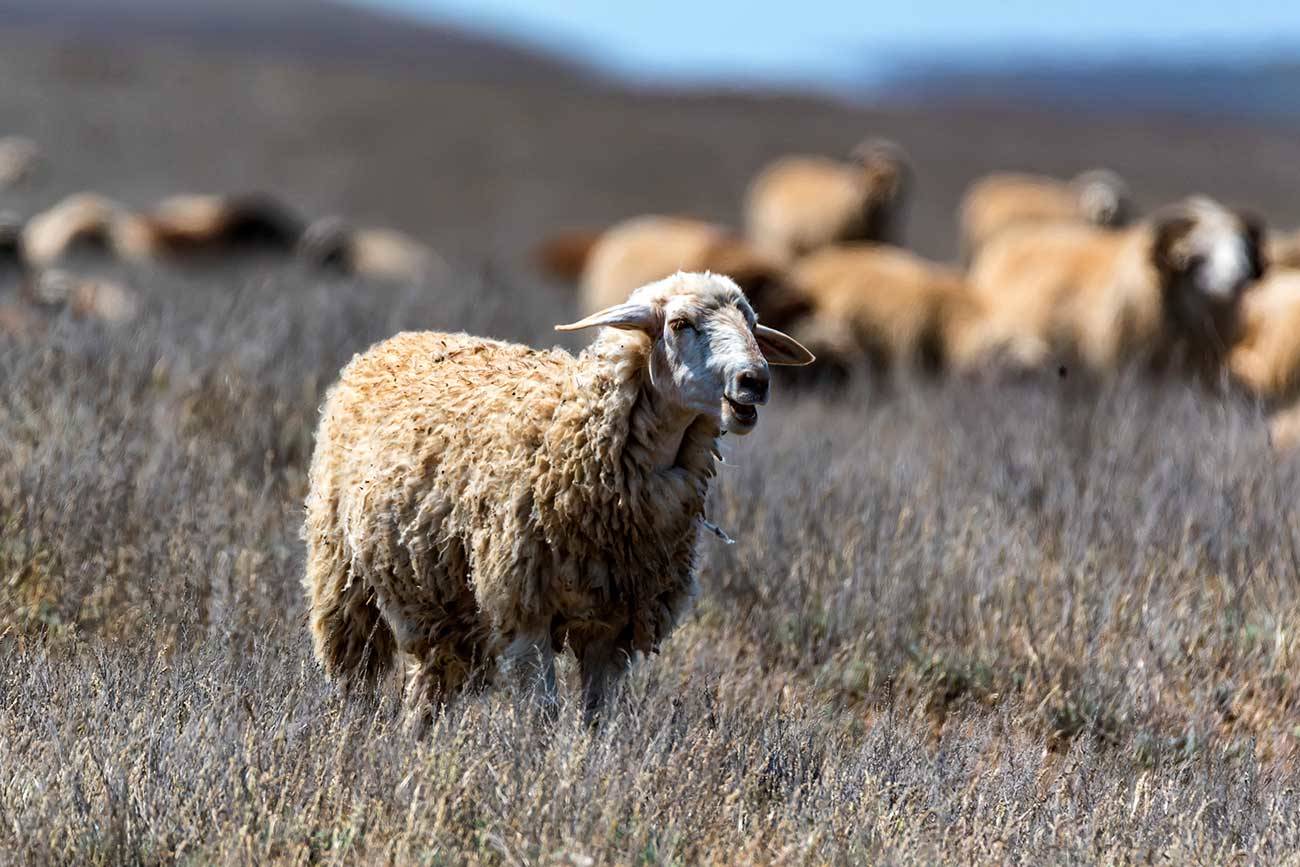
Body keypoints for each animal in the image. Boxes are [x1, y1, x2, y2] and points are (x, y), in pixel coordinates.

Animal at [303, 272, 813, 723]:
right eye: (679, 324)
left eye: (753, 324)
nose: (755, 381)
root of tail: (394, 341)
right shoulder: (524, 610)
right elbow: (543, 716)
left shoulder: (614, 625)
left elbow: (596, 717)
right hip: (342, 576)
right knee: (354, 678)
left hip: (443, 605)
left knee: (428, 688)